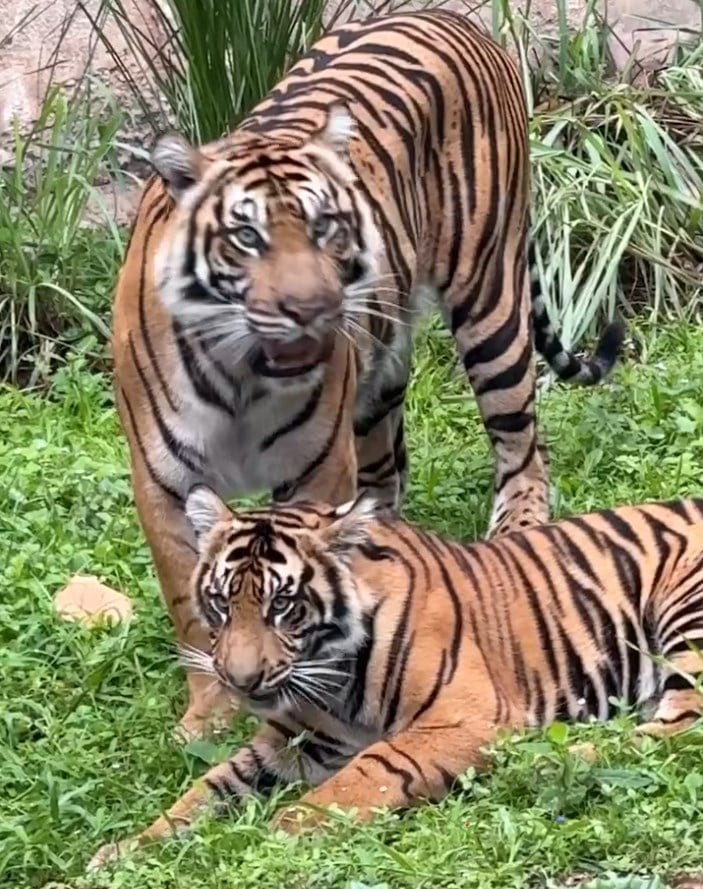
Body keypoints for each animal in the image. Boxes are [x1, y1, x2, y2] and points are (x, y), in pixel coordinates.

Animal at [88, 485, 703, 870]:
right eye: (220, 602)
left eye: (282, 605)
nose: (240, 681)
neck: (332, 677)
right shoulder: (296, 740)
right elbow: (209, 789)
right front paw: (125, 850)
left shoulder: (464, 716)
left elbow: (369, 771)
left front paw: (283, 830)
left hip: (686, 611)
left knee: (681, 728)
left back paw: (545, 761)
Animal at [114, 8, 623, 740]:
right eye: (247, 237)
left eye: (326, 225)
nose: (315, 307)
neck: (242, 377)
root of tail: (455, 18)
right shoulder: (163, 481)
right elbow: (190, 599)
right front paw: (208, 720)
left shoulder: (315, 470)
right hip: (380, 383)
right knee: (391, 473)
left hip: (490, 297)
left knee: (524, 446)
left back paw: (513, 530)